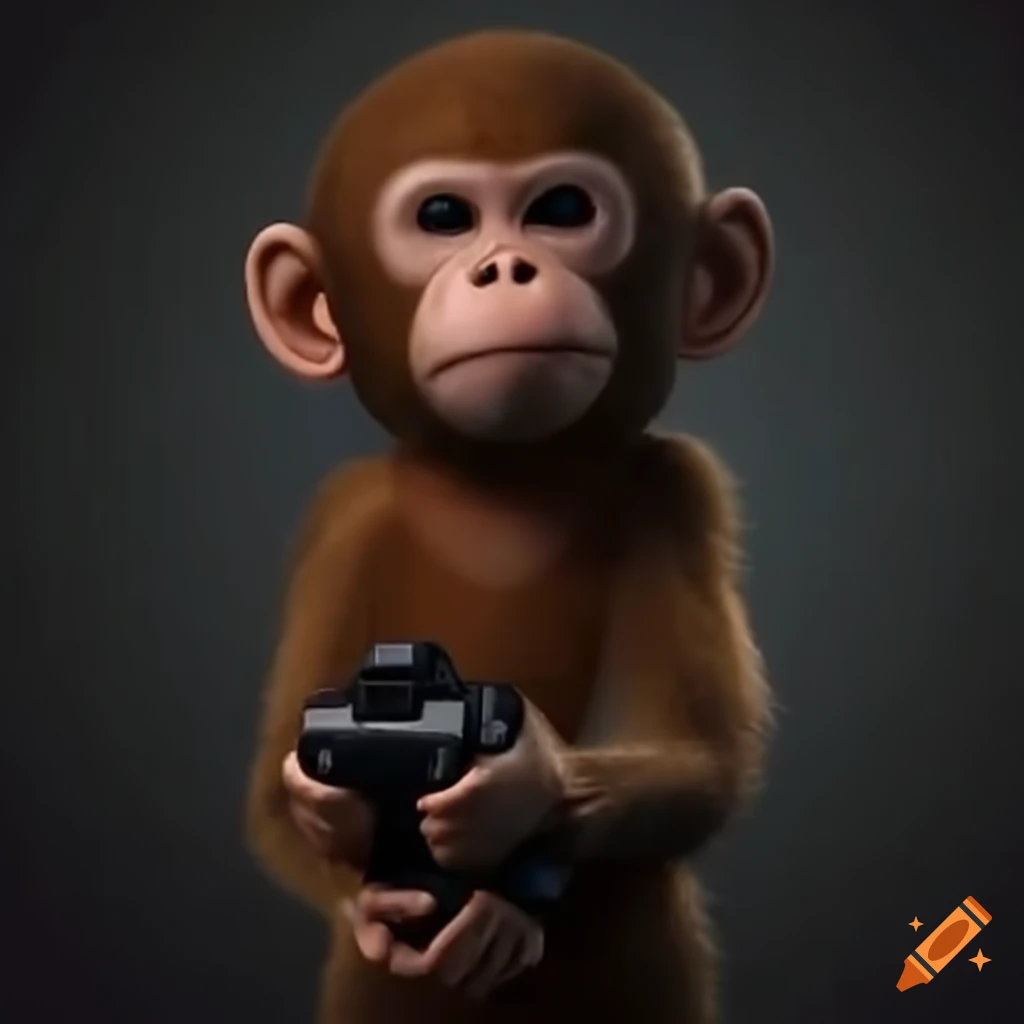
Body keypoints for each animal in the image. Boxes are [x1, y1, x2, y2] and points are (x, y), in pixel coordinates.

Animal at [243, 29, 774, 1024]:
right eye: (444, 216)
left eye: (562, 210)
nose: (504, 268)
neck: (507, 477)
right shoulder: (342, 520)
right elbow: (273, 797)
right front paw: (342, 817)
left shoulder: (682, 493)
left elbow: (705, 763)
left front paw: (514, 794)